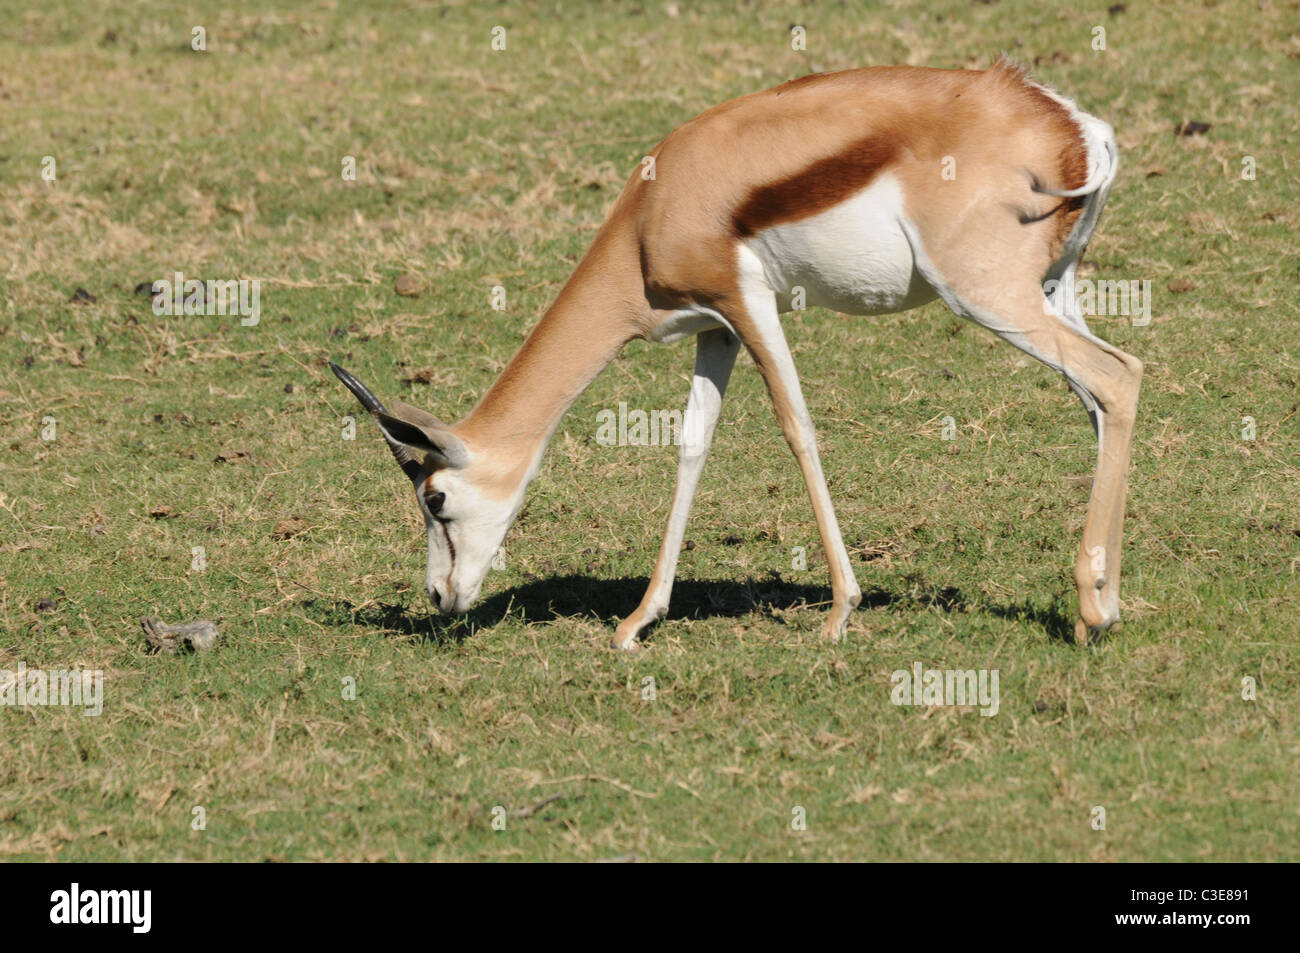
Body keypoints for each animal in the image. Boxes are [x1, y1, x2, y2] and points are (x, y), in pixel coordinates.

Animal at [331, 58, 1142, 648]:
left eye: (434, 498)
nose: (439, 596)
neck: (651, 212)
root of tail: (1072, 125)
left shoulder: (749, 302)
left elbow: (797, 429)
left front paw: (840, 612)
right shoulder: (714, 328)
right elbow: (692, 446)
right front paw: (637, 623)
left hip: (985, 294)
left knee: (1117, 376)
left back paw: (1091, 611)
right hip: (1053, 288)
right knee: (1106, 395)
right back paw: (1103, 604)